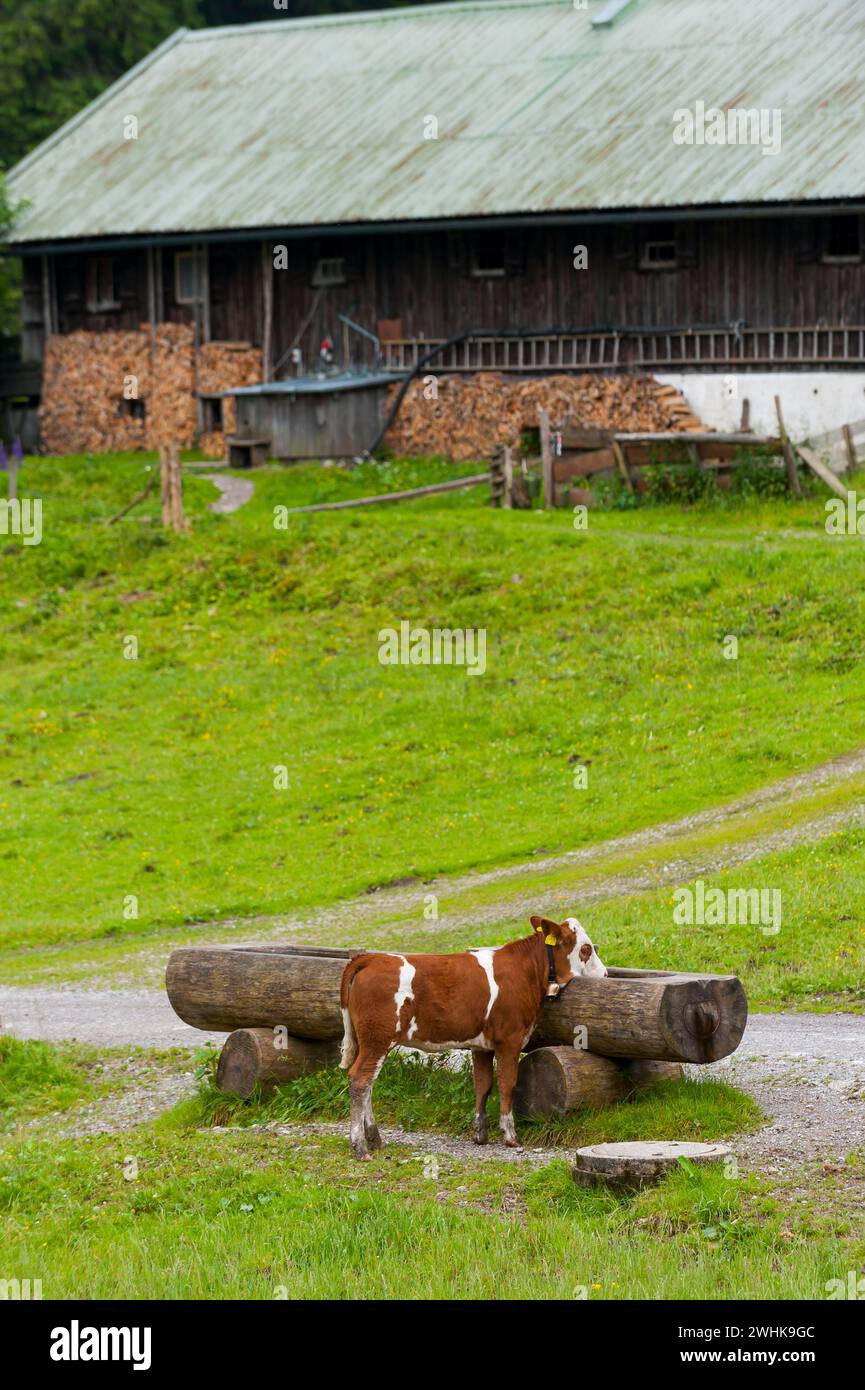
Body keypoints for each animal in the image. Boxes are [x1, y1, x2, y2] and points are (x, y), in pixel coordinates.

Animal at [339, 915, 607, 1159]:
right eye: (585, 949)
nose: (605, 975)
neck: (524, 971)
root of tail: (371, 958)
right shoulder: (509, 1040)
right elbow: (507, 1083)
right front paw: (510, 1136)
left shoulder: (482, 1045)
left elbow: (482, 1084)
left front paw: (480, 1134)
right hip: (377, 1040)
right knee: (360, 1080)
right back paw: (360, 1147)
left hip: (369, 1042)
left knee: (368, 1083)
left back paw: (375, 1139)